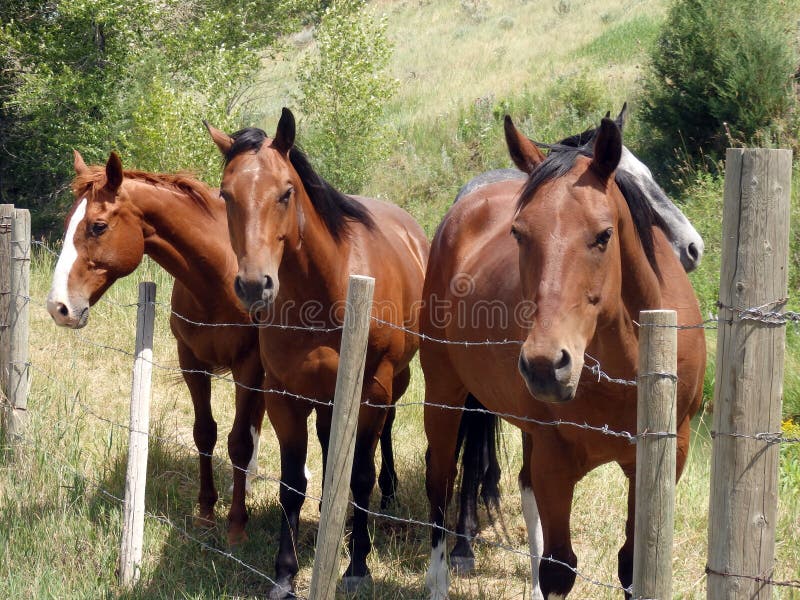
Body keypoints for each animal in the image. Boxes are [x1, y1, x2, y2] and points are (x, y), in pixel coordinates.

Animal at [205, 108, 429, 598]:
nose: (254, 285)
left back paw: (387, 494)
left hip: (395, 383)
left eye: (286, 192)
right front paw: (284, 575)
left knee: (383, 437)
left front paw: (358, 566)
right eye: (226, 194)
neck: (328, 290)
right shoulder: (284, 398)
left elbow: (360, 475)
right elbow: (293, 485)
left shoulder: (371, 393)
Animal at [422, 116, 705, 599]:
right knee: (441, 479)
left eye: (604, 235)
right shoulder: (556, 460)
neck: (627, 371)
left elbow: (632, 564)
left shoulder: (662, 459)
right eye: (519, 233)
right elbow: (559, 568)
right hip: (444, 396)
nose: (545, 365)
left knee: (521, 487)